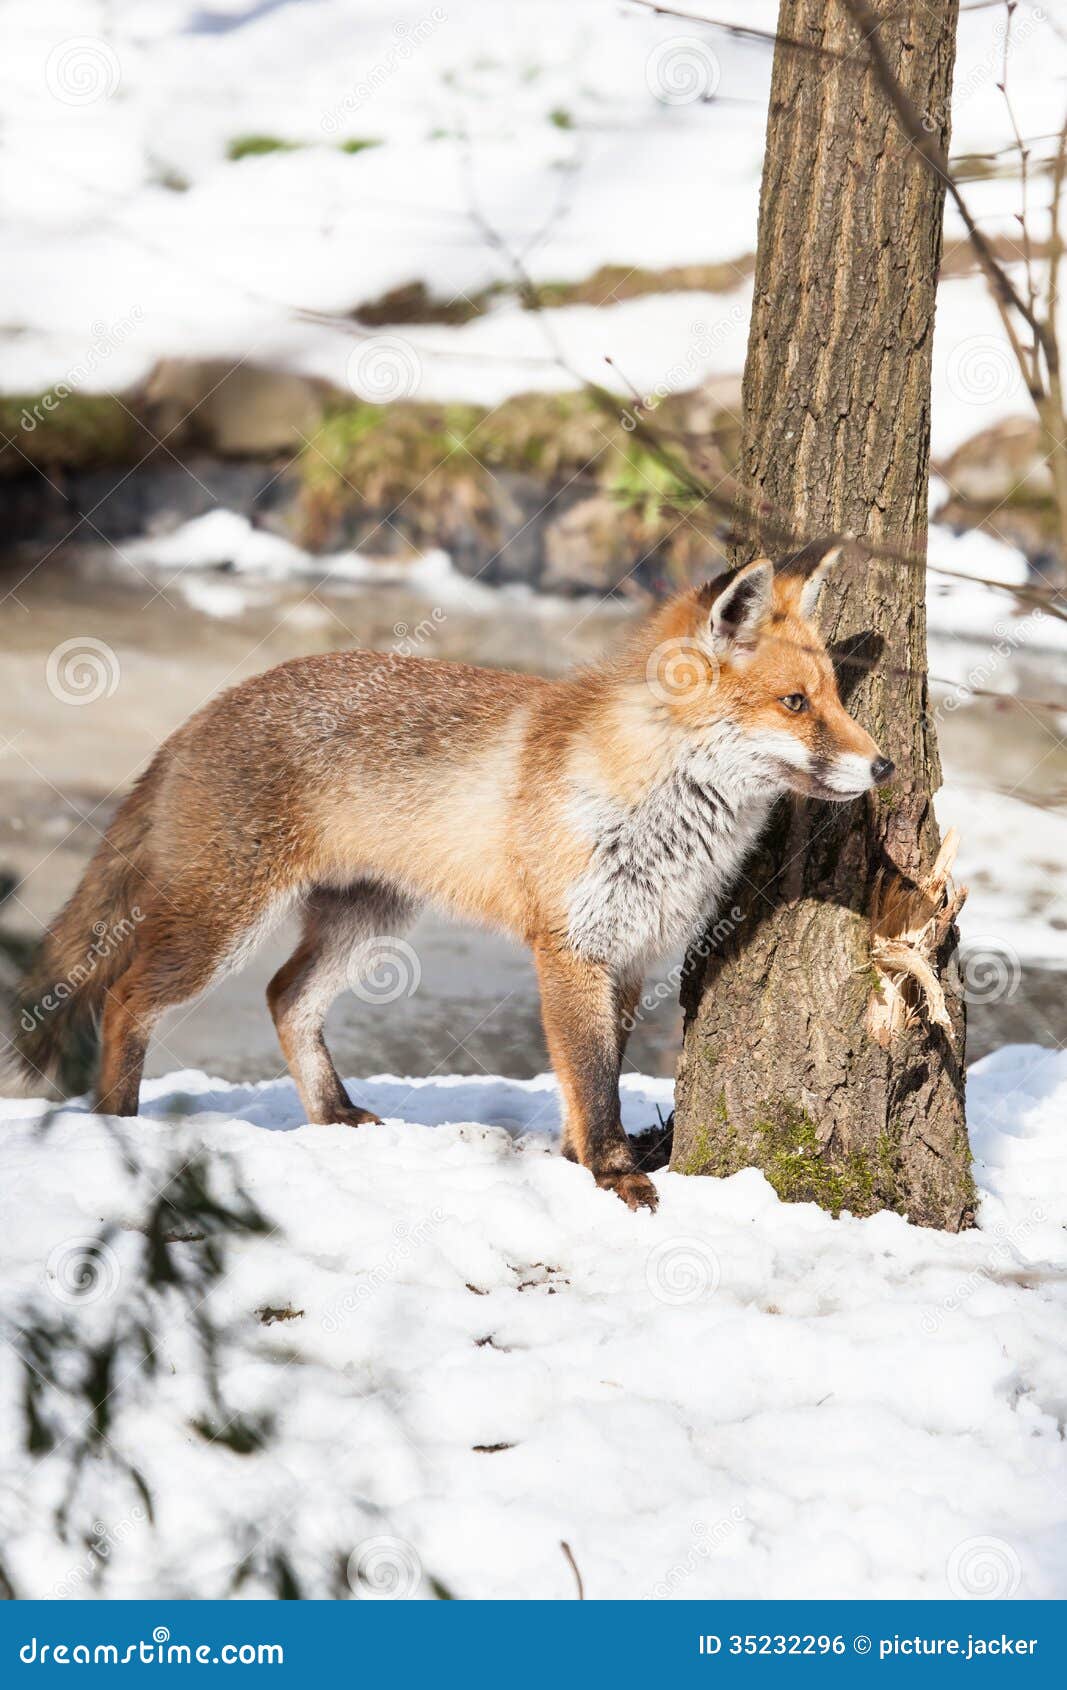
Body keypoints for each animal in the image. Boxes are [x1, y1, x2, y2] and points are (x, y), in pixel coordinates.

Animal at [7, 540, 893, 1211]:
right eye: (794, 703)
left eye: (834, 698)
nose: (883, 765)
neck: (653, 807)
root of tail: (199, 715)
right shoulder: (568, 947)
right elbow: (592, 1077)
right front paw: (614, 1176)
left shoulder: (633, 952)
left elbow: (591, 1074)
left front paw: (576, 1159)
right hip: (220, 926)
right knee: (126, 998)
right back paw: (118, 1125)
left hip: (364, 921)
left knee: (284, 996)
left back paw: (332, 1114)